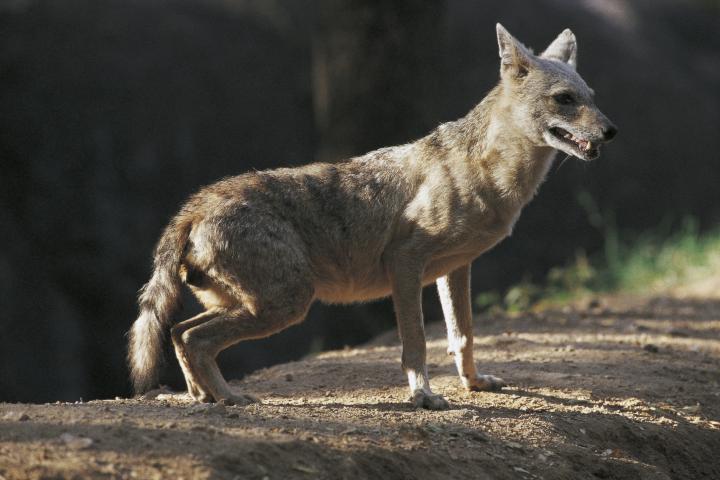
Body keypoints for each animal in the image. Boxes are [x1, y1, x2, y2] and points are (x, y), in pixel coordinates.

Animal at [128, 24, 616, 410]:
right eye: (565, 99)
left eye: (593, 98)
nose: (612, 130)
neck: (492, 175)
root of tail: (195, 205)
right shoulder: (406, 262)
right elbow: (416, 343)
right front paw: (424, 396)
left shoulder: (455, 268)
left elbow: (462, 336)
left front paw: (474, 383)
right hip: (286, 305)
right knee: (194, 338)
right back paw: (229, 397)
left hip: (251, 304)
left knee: (180, 333)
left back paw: (204, 396)